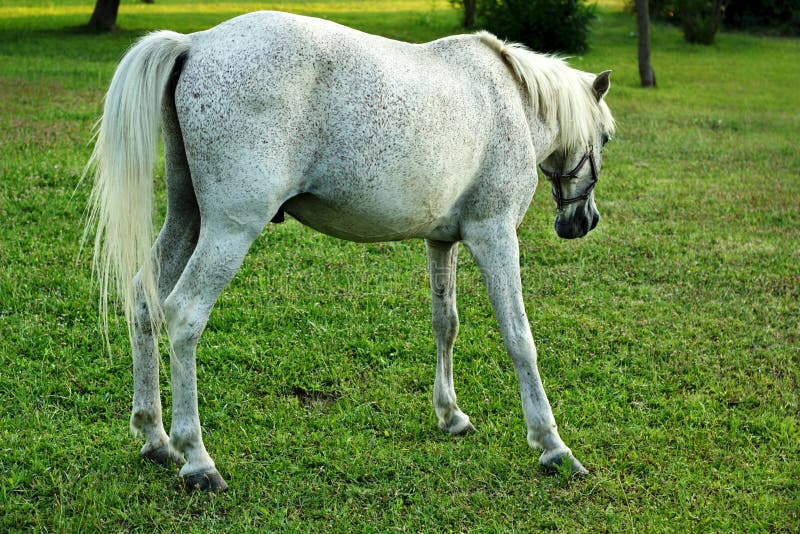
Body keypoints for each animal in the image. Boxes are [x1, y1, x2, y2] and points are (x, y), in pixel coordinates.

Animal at [85, 11, 615, 492]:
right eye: (605, 138)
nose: (583, 222)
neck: (512, 101)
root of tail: (194, 43)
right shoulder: (495, 235)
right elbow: (519, 337)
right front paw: (552, 445)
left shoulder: (441, 241)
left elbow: (446, 324)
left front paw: (450, 415)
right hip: (230, 229)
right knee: (184, 314)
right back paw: (196, 459)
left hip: (187, 217)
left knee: (144, 301)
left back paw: (155, 437)